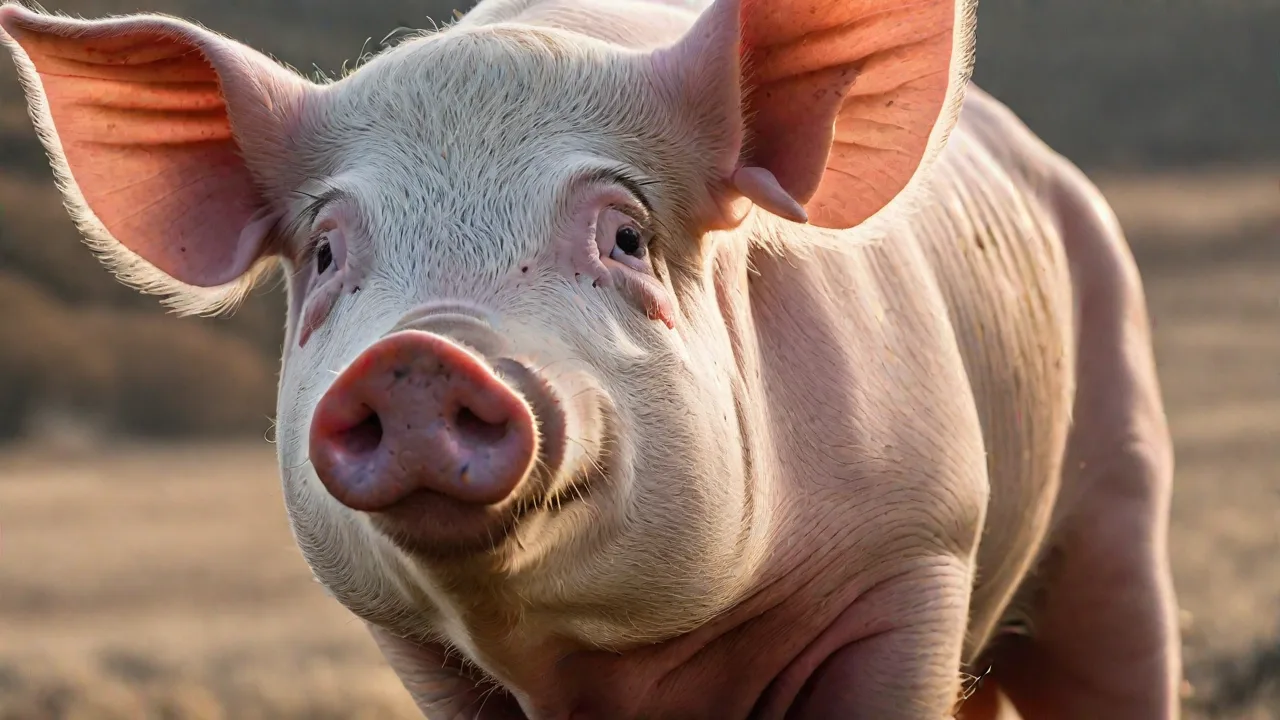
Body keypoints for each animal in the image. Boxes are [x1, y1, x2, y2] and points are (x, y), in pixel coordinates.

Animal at [0, 0, 1181, 717]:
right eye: (329, 251)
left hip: (1118, 485)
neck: (608, 667)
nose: (420, 354)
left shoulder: (916, 549)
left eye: (622, 234)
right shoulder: (414, 647)